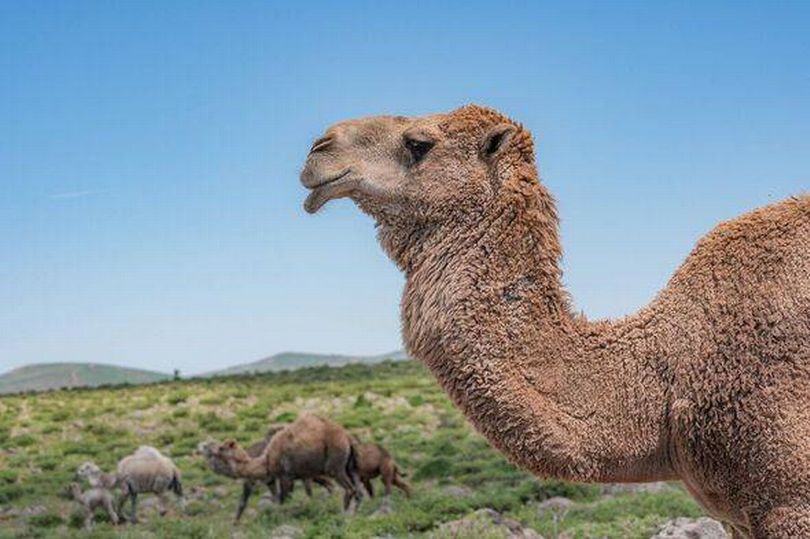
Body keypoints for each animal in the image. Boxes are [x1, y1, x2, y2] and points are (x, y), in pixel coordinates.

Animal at [214, 414, 363, 518]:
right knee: (358, 491)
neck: (267, 459)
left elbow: (284, 500)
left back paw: (344, 514)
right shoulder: (298, 476)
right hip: (350, 466)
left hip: (335, 464)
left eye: (222, 448)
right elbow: (294, 497)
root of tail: (347, 437)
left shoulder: (285, 476)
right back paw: (354, 514)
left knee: (349, 489)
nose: (214, 451)